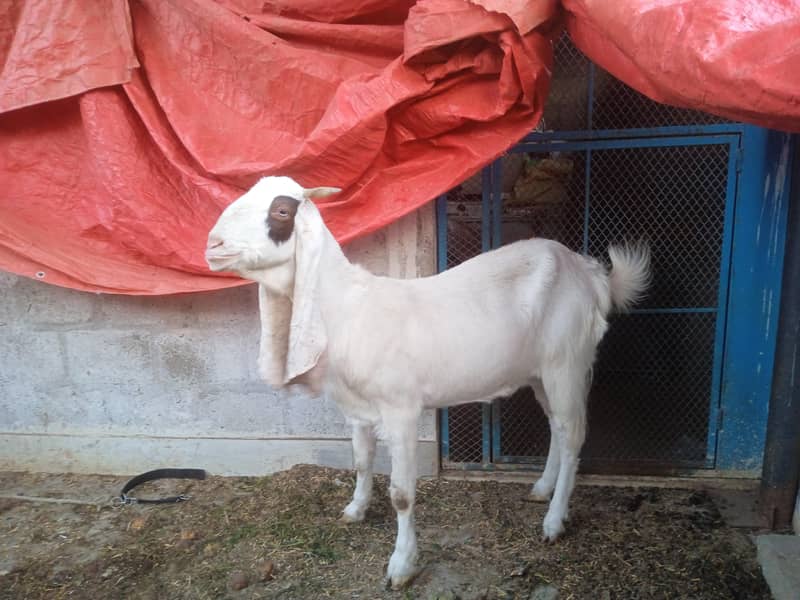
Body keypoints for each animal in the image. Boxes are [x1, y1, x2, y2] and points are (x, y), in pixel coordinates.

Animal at [205, 176, 651, 588]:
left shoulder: (400, 410)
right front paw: (355, 510)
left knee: (573, 434)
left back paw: (554, 521)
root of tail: (590, 273)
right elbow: (362, 462)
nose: (212, 243)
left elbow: (402, 494)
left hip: (567, 361)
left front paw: (401, 566)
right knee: (557, 427)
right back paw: (541, 488)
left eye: (282, 211)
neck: (347, 307)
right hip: (540, 371)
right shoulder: (357, 409)